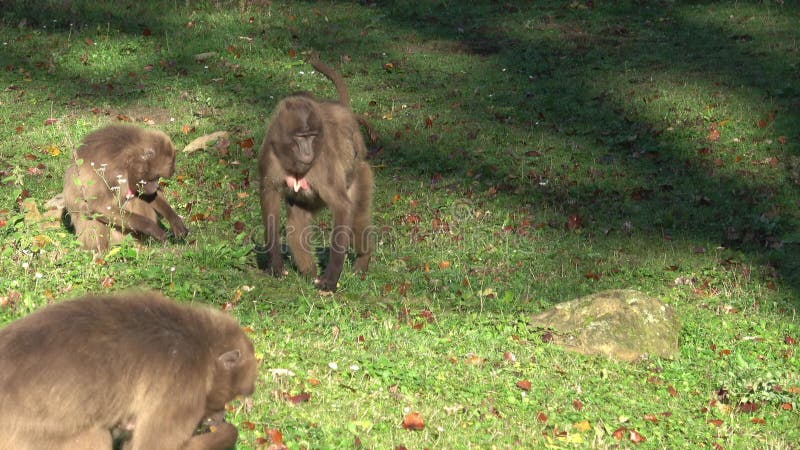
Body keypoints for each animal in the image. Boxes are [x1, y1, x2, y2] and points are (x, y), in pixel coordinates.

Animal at [0, 291, 257, 450]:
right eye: (229, 397)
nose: (221, 416)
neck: (200, 343)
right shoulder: (184, 384)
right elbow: (154, 446)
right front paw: (229, 432)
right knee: (95, 436)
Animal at [62, 124, 189, 253]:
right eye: (154, 178)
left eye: (158, 178)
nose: (155, 187)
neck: (127, 157)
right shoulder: (111, 171)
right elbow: (97, 207)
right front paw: (152, 228)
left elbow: (148, 196)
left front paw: (175, 221)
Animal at [258, 55, 374, 291]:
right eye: (300, 137)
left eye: (311, 136)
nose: (307, 152)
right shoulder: (270, 154)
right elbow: (270, 197)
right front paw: (275, 263)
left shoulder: (322, 163)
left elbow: (343, 207)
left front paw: (330, 278)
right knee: (297, 219)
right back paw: (308, 271)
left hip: (360, 174)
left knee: (357, 216)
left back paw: (362, 259)